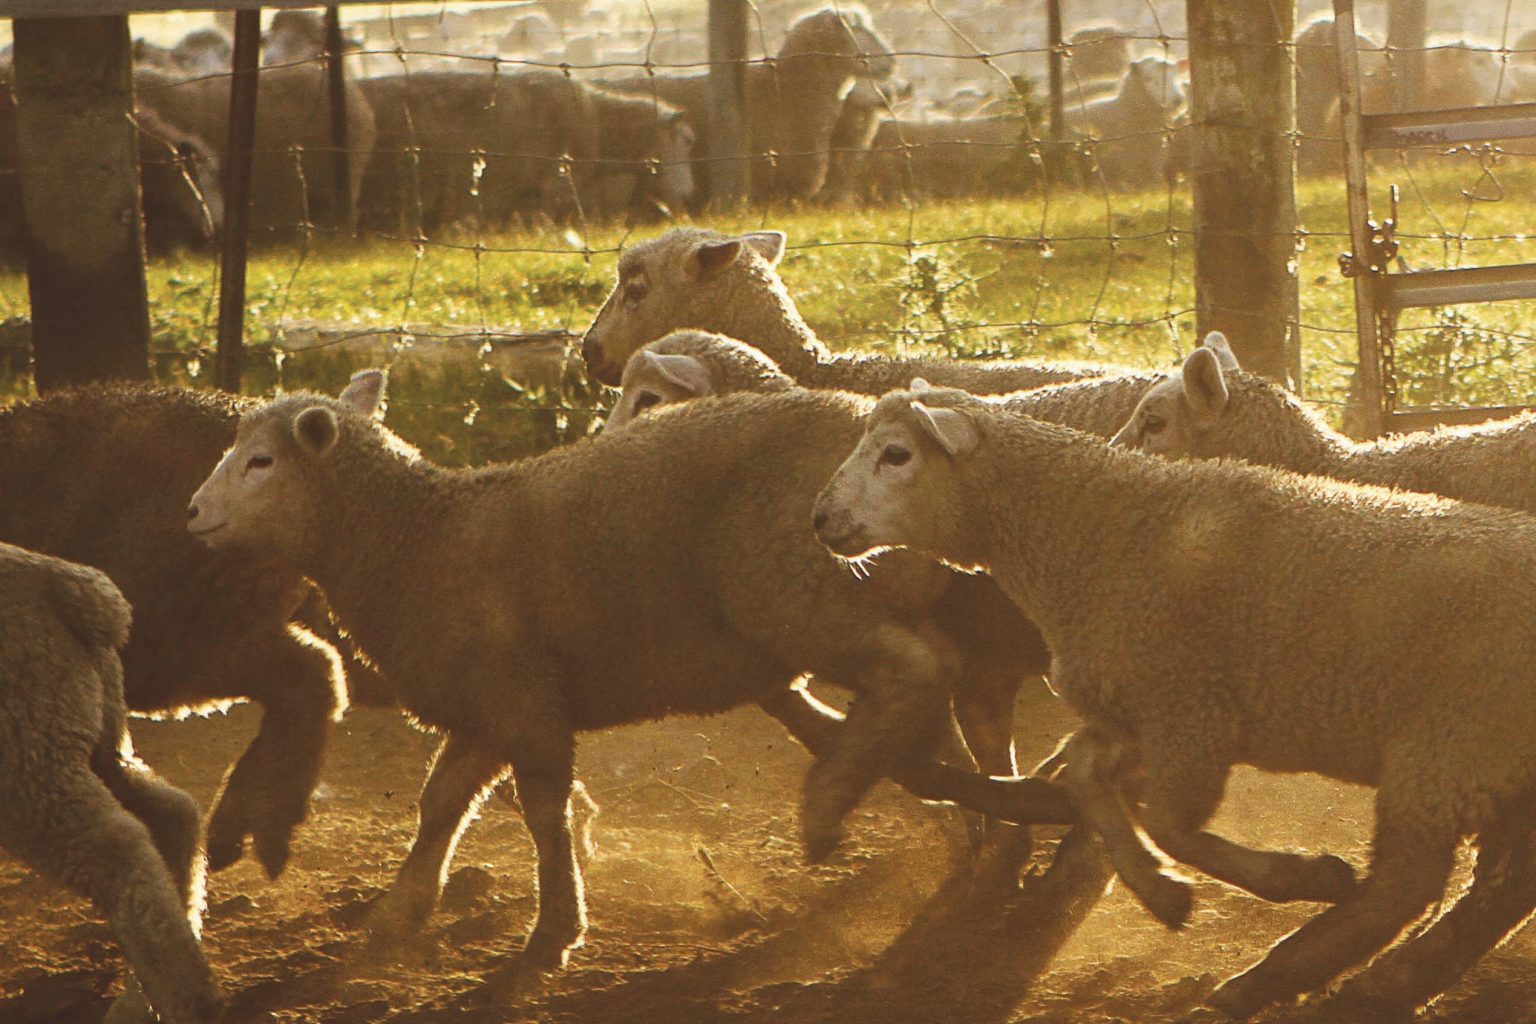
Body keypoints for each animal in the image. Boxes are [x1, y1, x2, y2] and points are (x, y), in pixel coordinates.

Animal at [0, 540, 223, 1024]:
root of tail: (61, 583)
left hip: (28, 762)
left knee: (117, 851)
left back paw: (190, 1000)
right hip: (94, 734)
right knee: (171, 813)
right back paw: (141, 999)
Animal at [185, 371, 1076, 974]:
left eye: (259, 462)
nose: (192, 514)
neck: (416, 536)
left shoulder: (523, 702)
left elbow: (542, 812)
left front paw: (554, 930)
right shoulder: (489, 705)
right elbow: (440, 806)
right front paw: (399, 912)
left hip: (798, 590)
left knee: (918, 668)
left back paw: (834, 804)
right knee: (929, 702)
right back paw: (979, 817)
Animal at [815, 380, 1536, 1019]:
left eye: (896, 454)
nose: (820, 518)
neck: (1095, 531)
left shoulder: (1190, 711)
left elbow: (1168, 823)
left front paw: (1290, 877)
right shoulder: (1142, 711)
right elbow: (1085, 776)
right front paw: (1157, 889)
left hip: (1446, 743)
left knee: (1408, 885)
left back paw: (1296, 976)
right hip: (1484, 758)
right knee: (1495, 887)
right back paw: (1358, 982)